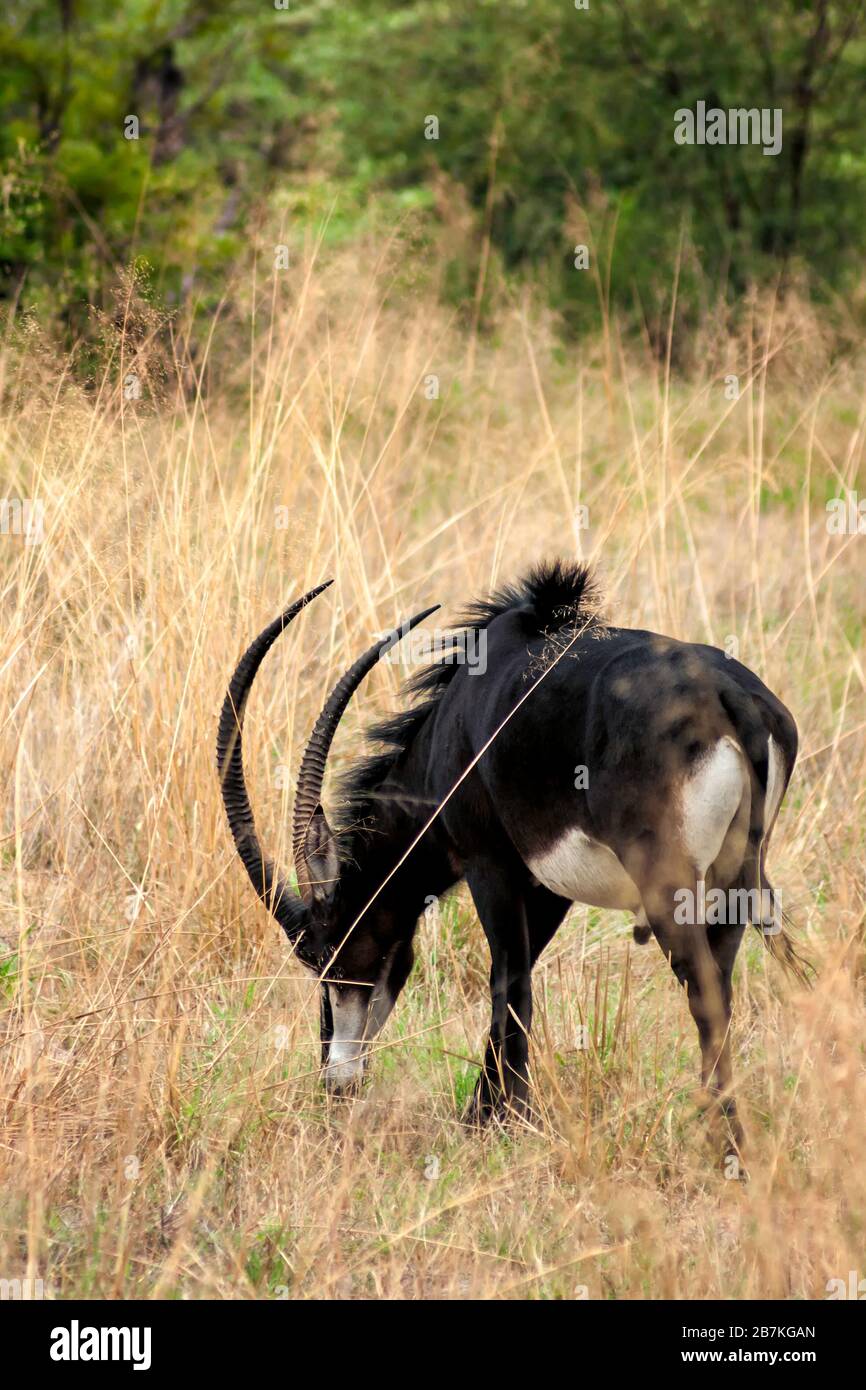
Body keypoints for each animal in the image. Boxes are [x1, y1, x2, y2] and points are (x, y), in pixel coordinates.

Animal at [217, 561, 806, 1155]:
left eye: (326, 956)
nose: (336, 1083)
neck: (455, 715)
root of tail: (731, 700)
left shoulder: (490, 865)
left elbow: (508, 984)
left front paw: (503, 1121)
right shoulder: (548, 888)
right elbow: (521, 977)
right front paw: (485, 1110)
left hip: (669, 888)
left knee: (704, 992)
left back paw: (725, 1144)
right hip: (731, 886)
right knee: (723, 986)